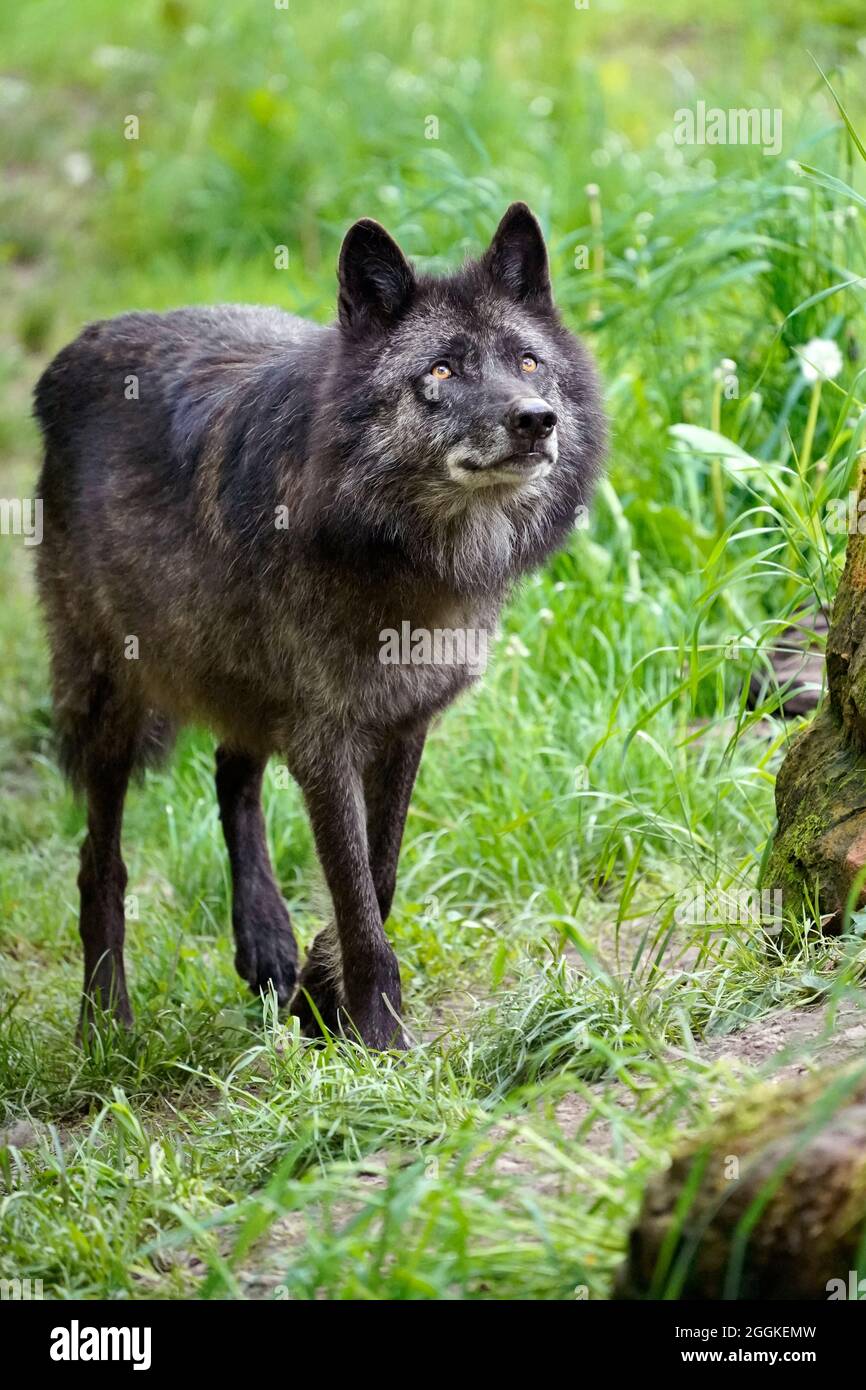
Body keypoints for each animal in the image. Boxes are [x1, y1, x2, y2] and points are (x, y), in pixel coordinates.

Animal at [33, 202, 605, 1048]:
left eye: (529, 362)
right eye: (441, 372)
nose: (537, 420)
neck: (406, 553)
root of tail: (75, 348)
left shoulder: (404, 723)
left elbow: (380, 874)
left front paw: (316, 999)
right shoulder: (325, 736)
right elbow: (359, 896)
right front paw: (377, 1034)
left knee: (231, 775)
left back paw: (265, 942)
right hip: (113, 702)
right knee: (98, 861)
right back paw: (105, 1018)